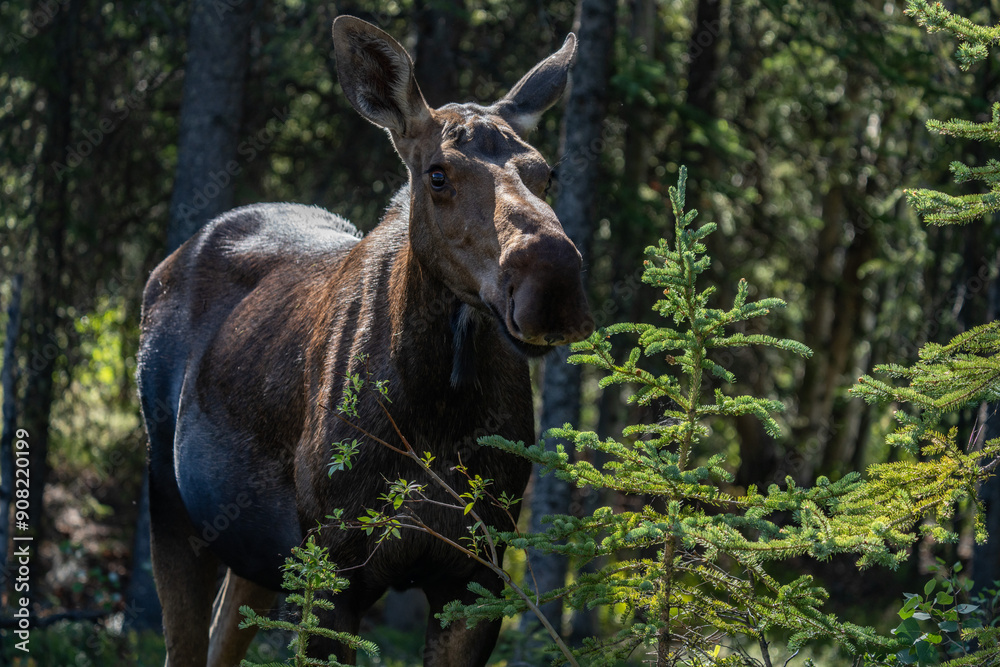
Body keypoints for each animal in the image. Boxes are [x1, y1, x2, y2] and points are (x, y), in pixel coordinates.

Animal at [136, 15, 593, 667]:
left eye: (546, 172)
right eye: (437, 174)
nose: (552, 282)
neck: (438, 406)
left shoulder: (476, 574)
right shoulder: (336, 568)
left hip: (255, 549)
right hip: (169, 498)